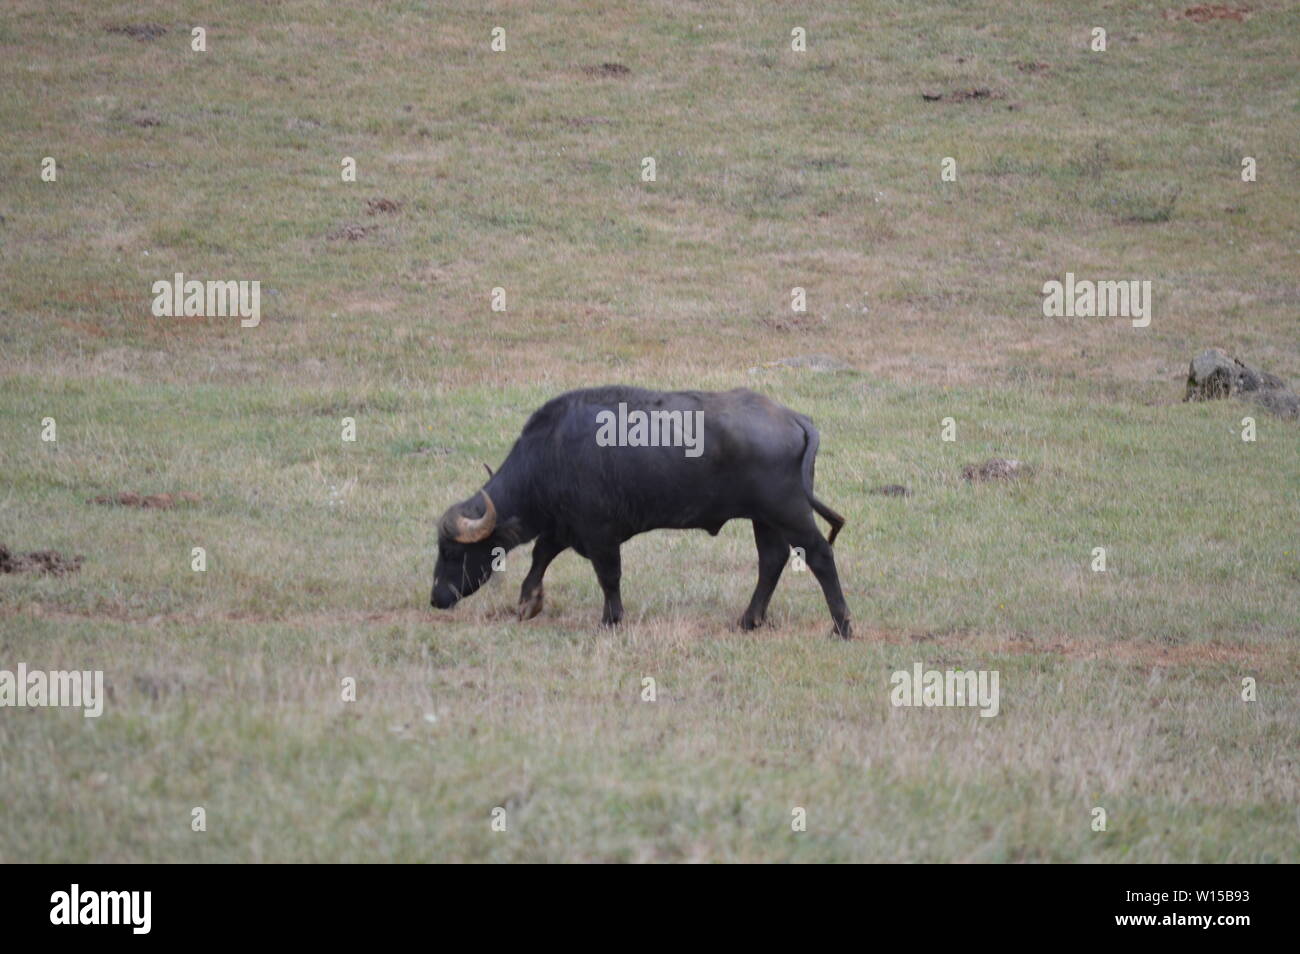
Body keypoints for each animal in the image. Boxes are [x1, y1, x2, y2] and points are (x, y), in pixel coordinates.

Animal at [431, 386, 851, 637]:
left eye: (452, 550)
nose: (436, 598)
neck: (552, 452)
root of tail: (795, 419)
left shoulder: (599, 533)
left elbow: (608, 576)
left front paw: (610, 619)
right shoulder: (566, 527)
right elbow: (541, 554)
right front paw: (528, 603)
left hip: (788, 512)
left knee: (818, 554)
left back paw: (841, 626)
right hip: (765, 520)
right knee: (772, 559)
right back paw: (749, 620)